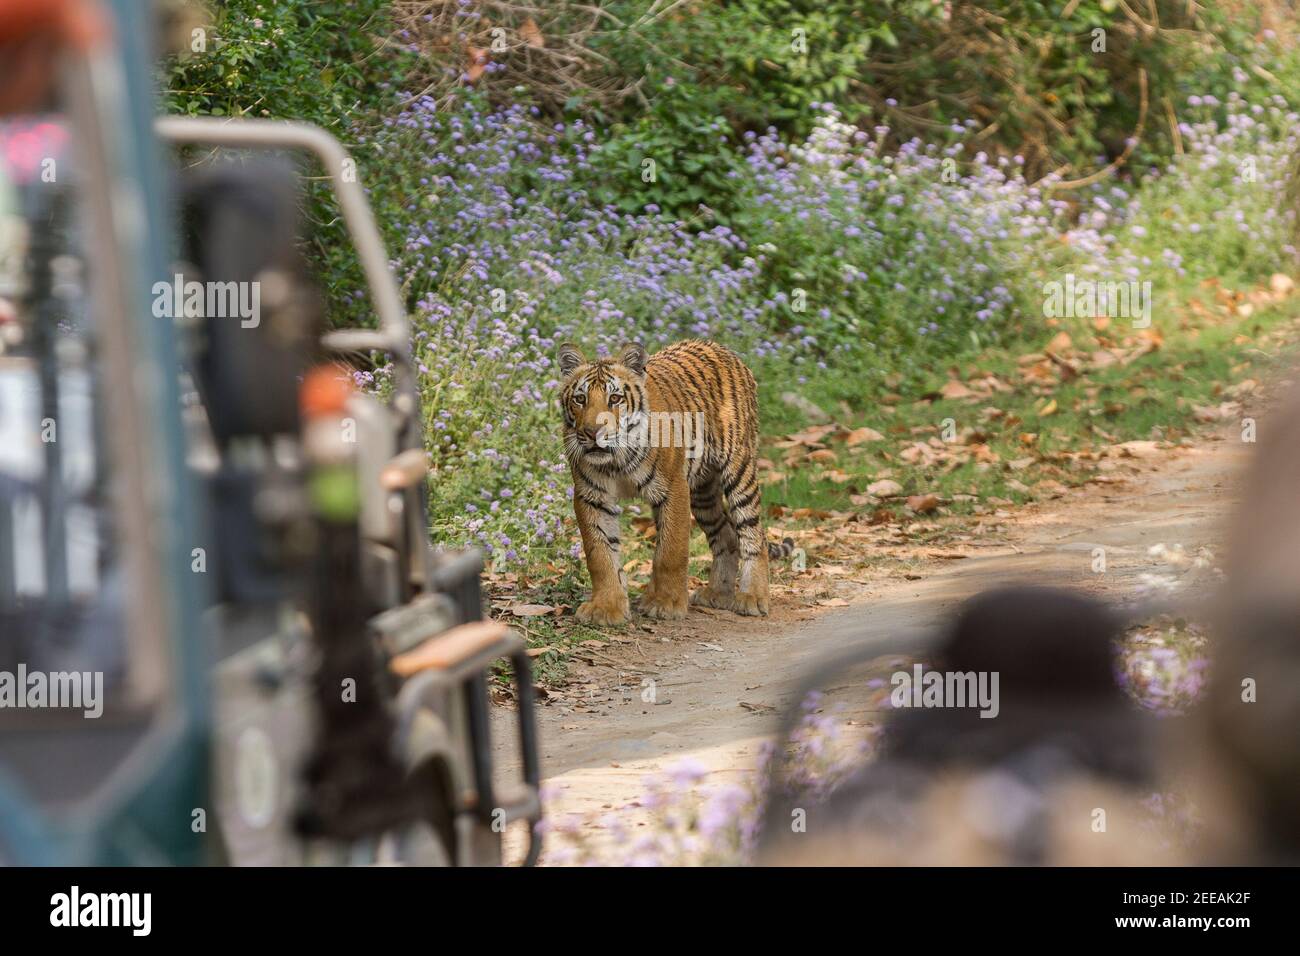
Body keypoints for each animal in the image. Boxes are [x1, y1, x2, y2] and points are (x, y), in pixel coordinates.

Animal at [558, 339, 791, 626]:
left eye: (615, 399)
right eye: (580, 399)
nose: (593, 432)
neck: (616, 459)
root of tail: (721, 348)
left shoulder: (673, 488)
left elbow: (671, 551)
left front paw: (666, 604)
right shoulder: (592, 496)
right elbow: (600, 555)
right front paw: (606, 608)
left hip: (739, 469)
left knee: (753, 533)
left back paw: (753, 598)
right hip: (703, 492)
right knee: (726, 536)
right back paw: (716, 594)